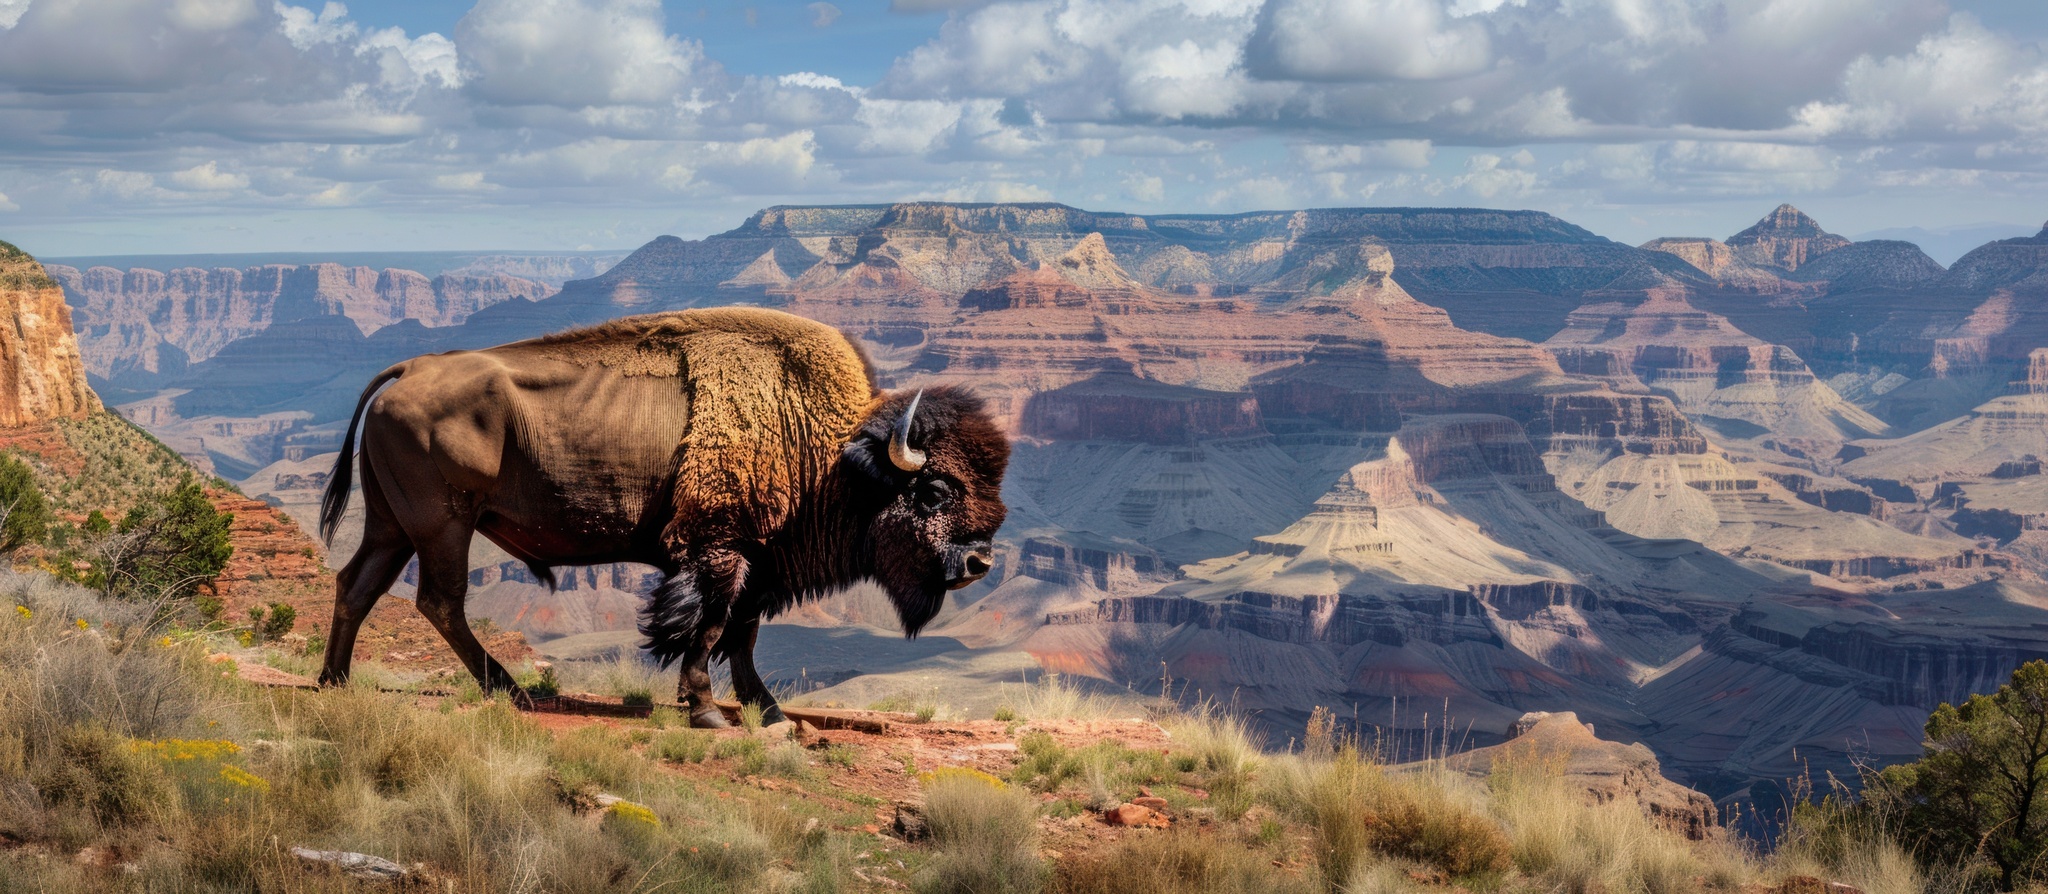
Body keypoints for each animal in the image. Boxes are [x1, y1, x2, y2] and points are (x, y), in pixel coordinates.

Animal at [316, 307, 1009, 727]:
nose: (979, 562)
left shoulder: (757, 562)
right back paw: (509, 691)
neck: (827, 450)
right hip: (443, 527)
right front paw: (706, 710)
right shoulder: (719, 552)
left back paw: (334, 682)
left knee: (357, 584)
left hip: (392, 526)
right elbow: (708, 627)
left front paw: (769, 714)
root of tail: (409, 370)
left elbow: (742, 635)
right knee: (440, 600)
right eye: (934, 491)